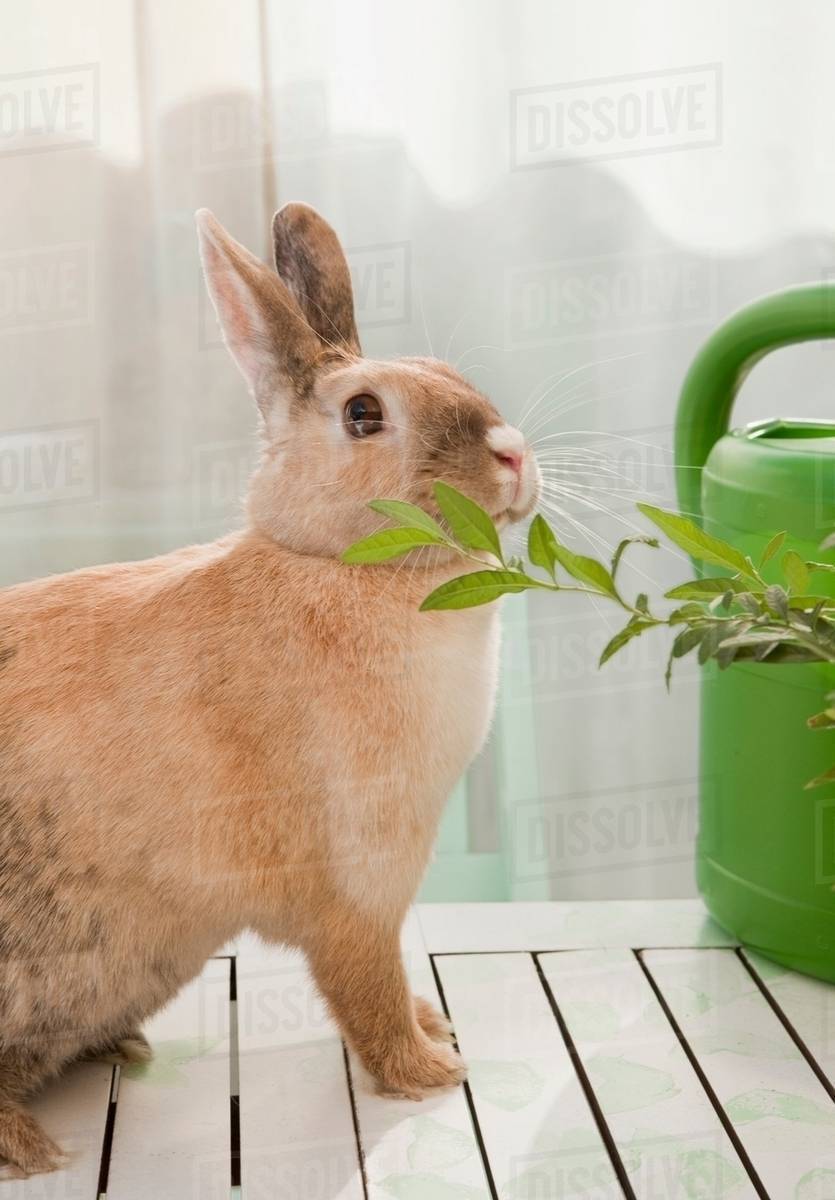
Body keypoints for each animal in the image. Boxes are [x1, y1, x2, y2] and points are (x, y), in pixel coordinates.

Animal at [0, 202, 541, 1178]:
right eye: (364, 414)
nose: (512, 456)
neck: (346, 568)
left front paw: (434, 1027)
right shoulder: (357, 887)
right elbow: (366, 990)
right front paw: (428, 1071)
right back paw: (35, 1151)